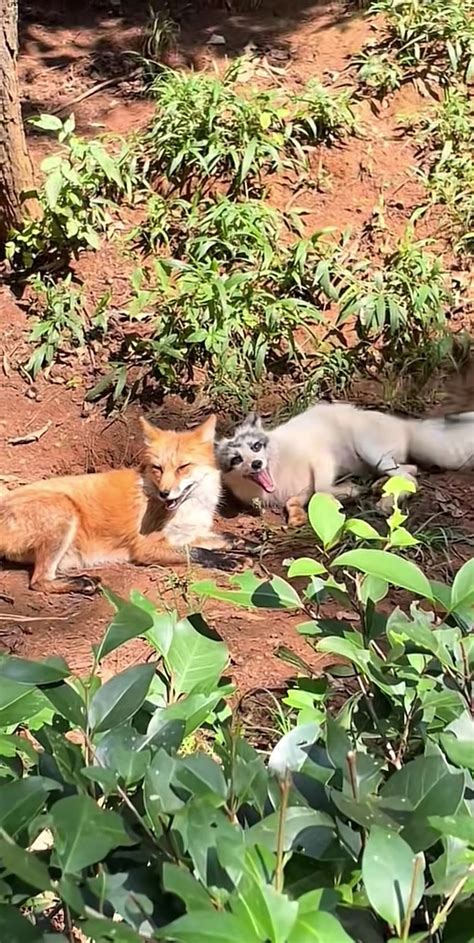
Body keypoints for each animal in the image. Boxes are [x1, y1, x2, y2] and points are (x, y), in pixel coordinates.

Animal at [0, 414, 243, 595]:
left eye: (183, 467)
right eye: (158, 468)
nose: (164, 493)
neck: (192, 509)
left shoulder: (187, 534)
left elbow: (226, 539)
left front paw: (244, 545)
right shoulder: (146, 548)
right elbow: (197, 553)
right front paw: (225, 560)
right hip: (64, 511)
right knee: (39, 581)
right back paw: (82, 582)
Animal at [217, 402, 474, 526]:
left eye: (256, 447)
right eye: (236, 459)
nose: (257, 464)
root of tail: (405, 425)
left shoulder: (321, 458)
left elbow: (321, 488)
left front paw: (350, 492)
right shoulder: (297, 490)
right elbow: (296, 500)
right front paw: (297, 515)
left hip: (369, 449)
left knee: (410, 477)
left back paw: (384, 500)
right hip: (374, 462)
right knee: (411, 470)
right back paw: (379, 485)